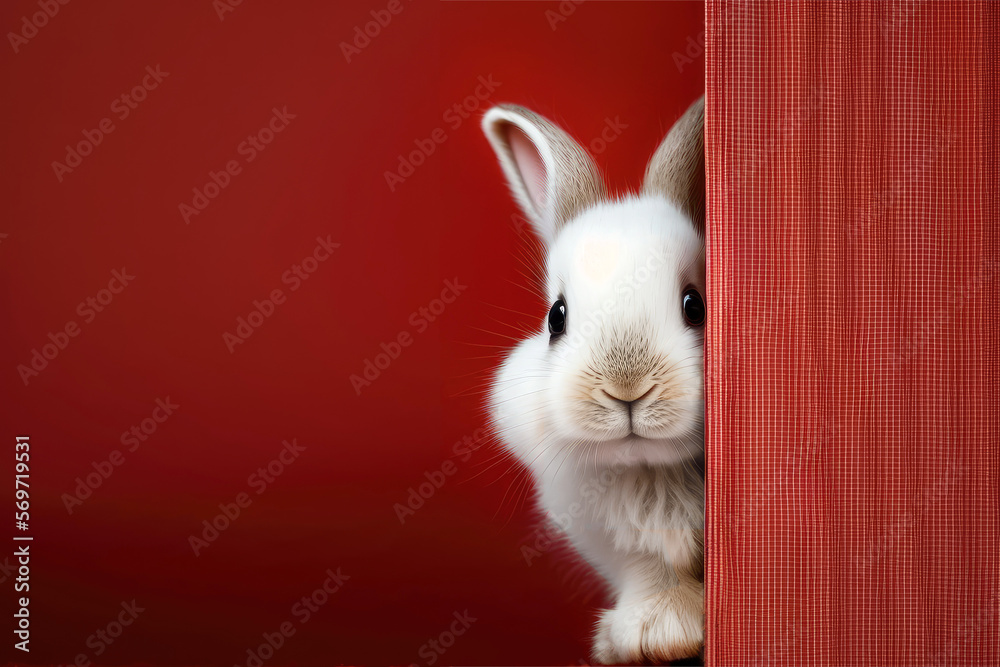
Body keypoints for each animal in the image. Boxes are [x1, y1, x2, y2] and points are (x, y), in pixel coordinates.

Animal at [481, 97, 706, 664]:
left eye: (696, 305)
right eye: (556, 318)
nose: (626, 389)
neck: (650, 468)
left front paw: (662, 632)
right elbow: (651, 571)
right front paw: (651, 633)